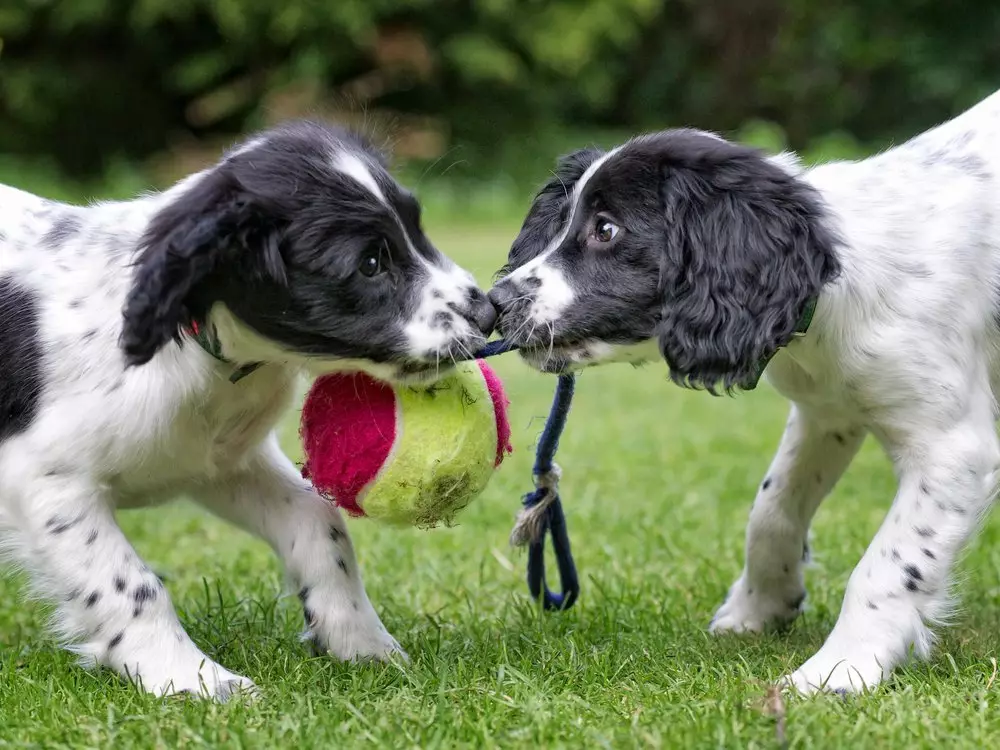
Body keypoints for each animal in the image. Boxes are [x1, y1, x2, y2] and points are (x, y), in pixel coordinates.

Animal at [0, 120, 498, 704]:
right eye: (371, 264)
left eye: (418, 229)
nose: (490, 311)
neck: (192, 344)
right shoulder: (47, 482)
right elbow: (133, 585)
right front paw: (190, 678)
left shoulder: (223, 462)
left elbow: (320, 522)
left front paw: (362, 641)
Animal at [488, 91, 1000, 696]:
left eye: (606, 229)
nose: (494, 303)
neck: (836, 278)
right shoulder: (826, 411)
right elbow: (771, 509)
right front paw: (760, 606)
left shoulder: (951, 447)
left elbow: (890, 562)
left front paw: (840, 668)